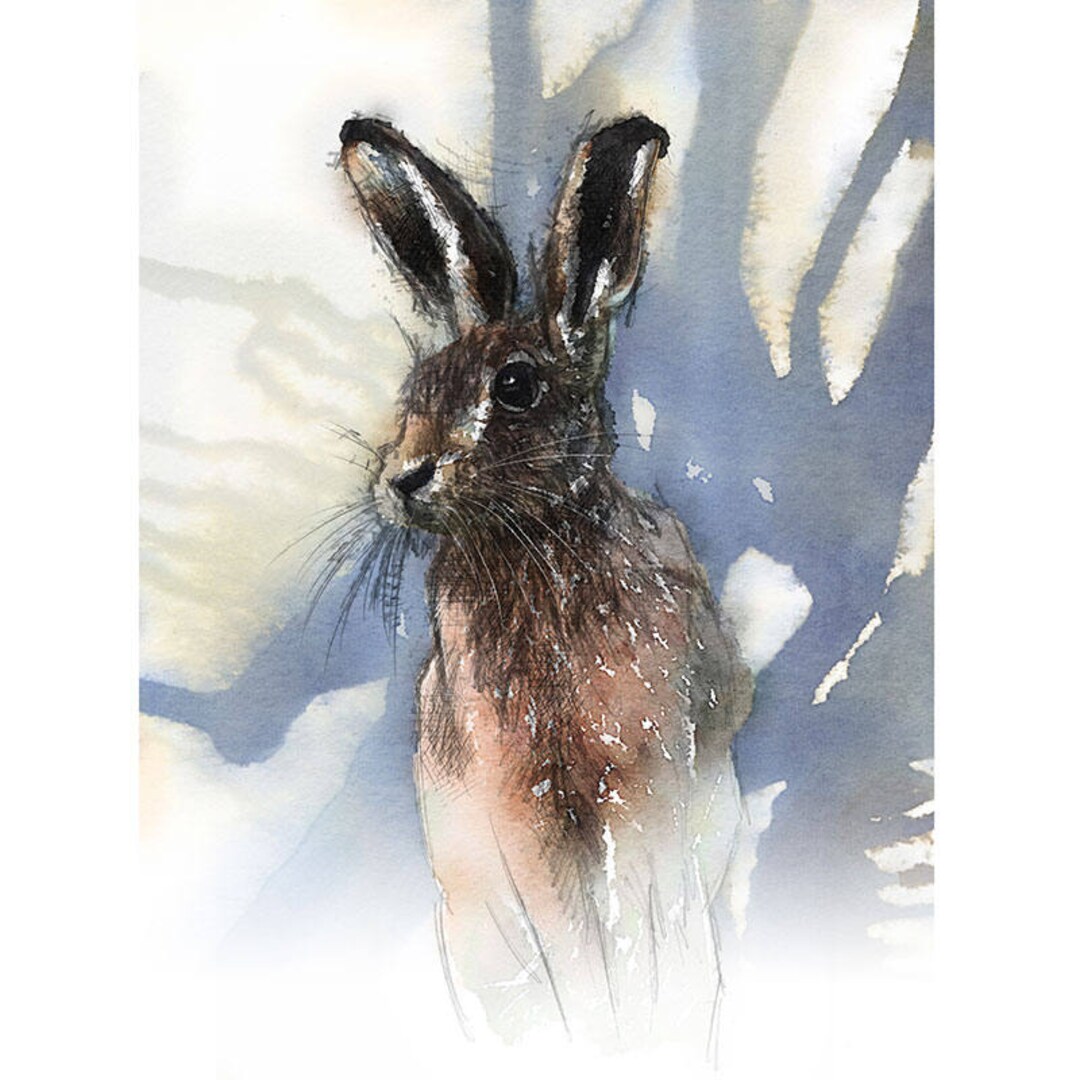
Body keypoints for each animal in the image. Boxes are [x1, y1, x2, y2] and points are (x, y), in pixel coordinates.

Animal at [335, 114, 755, 1051]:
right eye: (415, 388)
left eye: (517, 387)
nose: (403, 478)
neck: (535, 543)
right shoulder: (515, 803)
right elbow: (575, 943)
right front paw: (602, 1028)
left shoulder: (644, 776)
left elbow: (636, 931)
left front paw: (639, 1022)